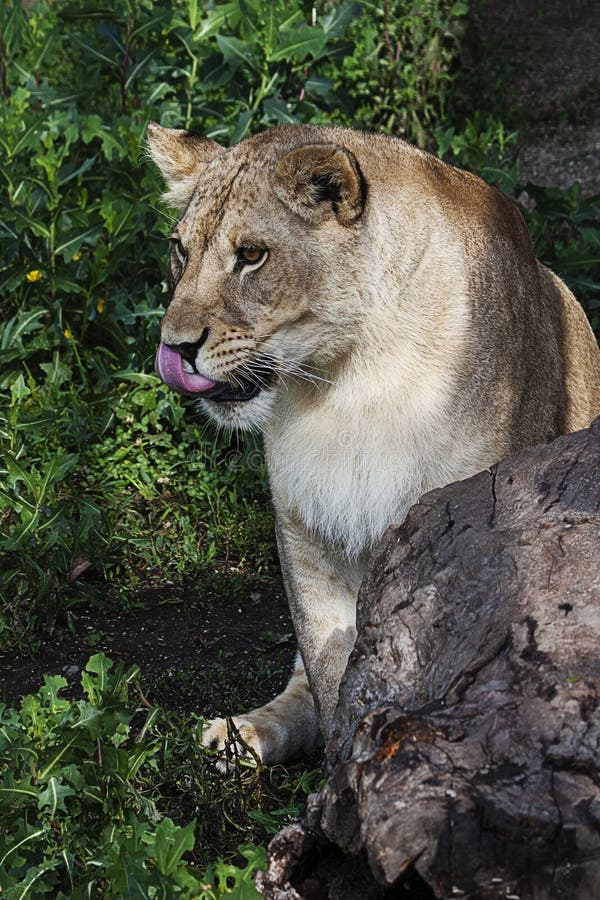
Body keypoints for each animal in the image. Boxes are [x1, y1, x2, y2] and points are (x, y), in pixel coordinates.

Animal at [147, 122, 600, 766]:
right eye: (181, 250)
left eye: (252, 255)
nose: (174, 347)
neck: (348, 381)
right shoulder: (304, 527)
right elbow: (330, 667)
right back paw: (239, 735)